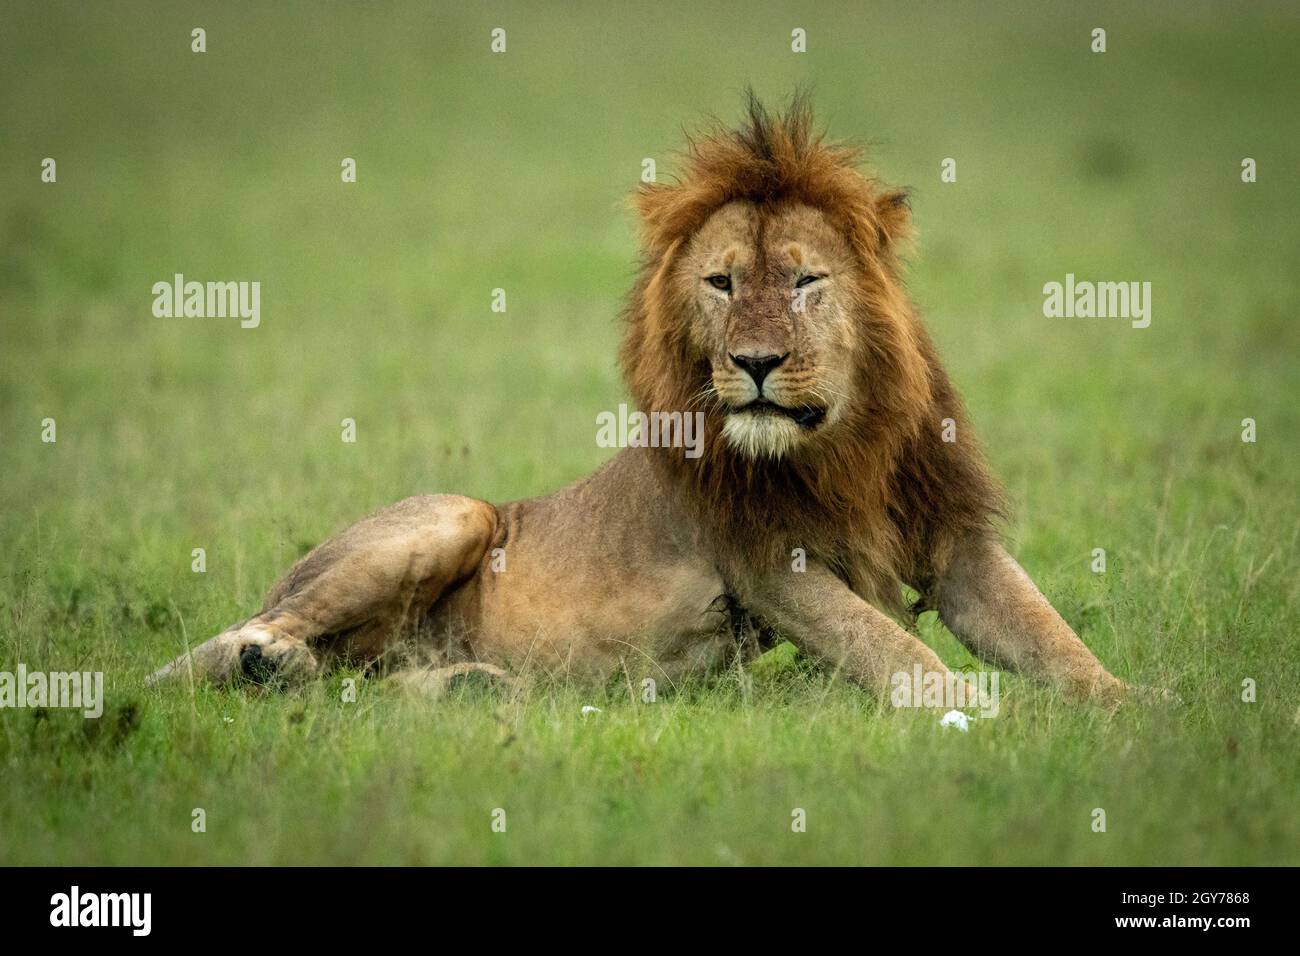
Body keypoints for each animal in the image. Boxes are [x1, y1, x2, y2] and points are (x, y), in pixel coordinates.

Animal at [150, 94, 1127, 705]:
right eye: (721, 283)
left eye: (805, 280)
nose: (756, 363)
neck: (846, 443)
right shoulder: (767, 562)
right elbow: (889, 646)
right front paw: (978, 708)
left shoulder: (955, 540)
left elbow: (1053, 639)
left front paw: (1132, 707)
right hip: (450, 515)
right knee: (220, 646)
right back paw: (268, 662)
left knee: (366, 681)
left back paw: (453, 686)